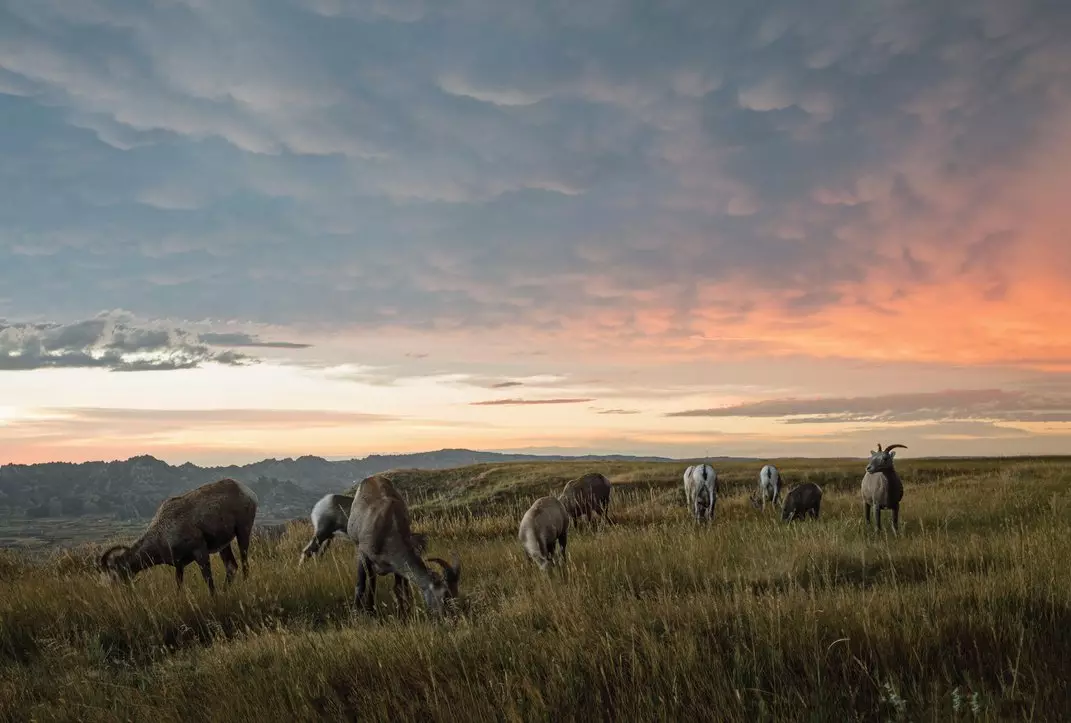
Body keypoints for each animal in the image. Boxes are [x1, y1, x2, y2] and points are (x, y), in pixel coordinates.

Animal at [98, 479, 261, 595]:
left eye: (115, 574)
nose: (120, 592)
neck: (163, 529)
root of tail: (249, 493)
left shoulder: (200, 552)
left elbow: (209, 581)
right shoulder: (179, 565)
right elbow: (179, 587)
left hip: (243, 532)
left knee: (244, 564)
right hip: (224, 546)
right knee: (231, 567)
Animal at [344, 471, 458, 621]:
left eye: (456, 592)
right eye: (445, 595)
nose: (453, 618)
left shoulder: (396, 566)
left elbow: (398, 588)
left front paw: (403, 615)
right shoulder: (363, 554)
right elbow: (360, 585)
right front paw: (356, 615)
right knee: (371, 582)